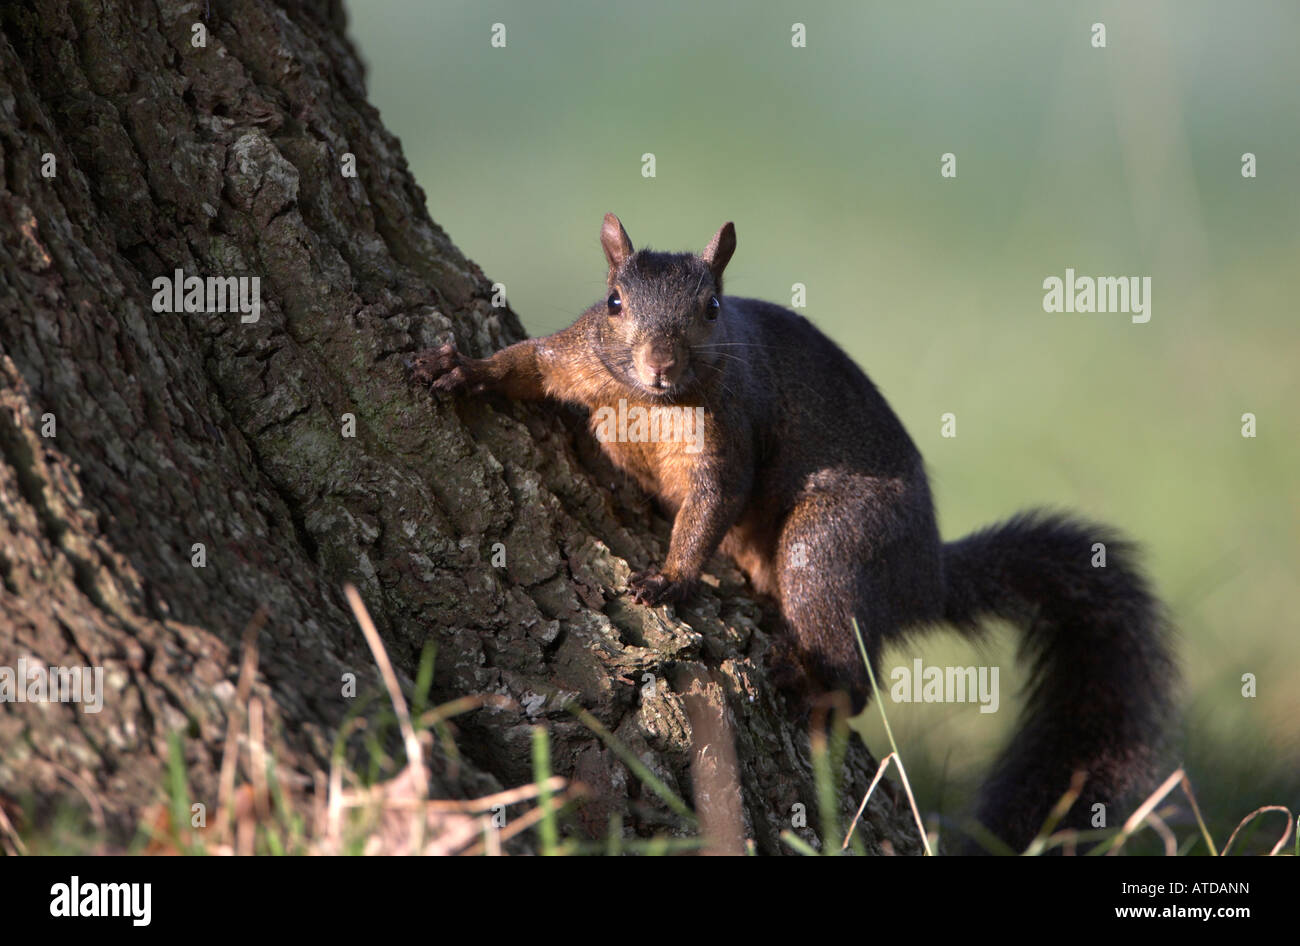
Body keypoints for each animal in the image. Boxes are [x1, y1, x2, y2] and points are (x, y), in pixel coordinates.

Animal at [410, 213, 1177, 853]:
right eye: (614, 303)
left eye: (712, 308)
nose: (660, 366)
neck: (648, 400)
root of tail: (927, 577)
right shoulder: (579, 356)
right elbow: (527, 364)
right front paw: (458, 369)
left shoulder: (729, 434)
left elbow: (713, 504)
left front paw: (673, 576)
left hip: (833, 546)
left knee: (852, 665)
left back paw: (807, 685)